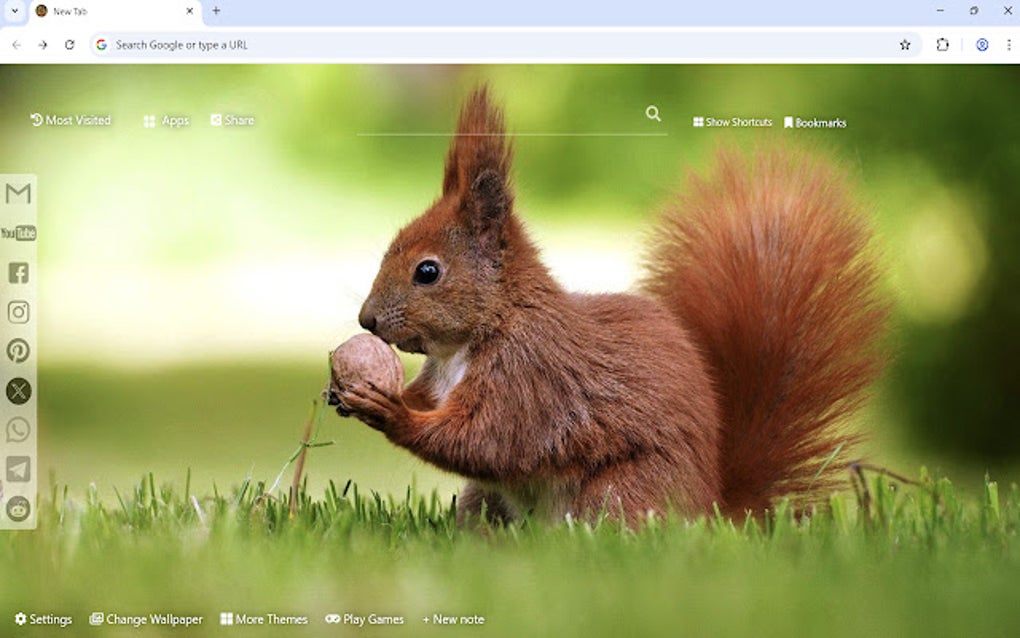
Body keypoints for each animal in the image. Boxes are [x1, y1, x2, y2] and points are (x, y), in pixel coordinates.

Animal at [336, 87, 889, 525]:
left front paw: (390, 412)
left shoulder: (532, 377)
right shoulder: (443, 379)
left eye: (427, 271)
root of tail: (710, 509)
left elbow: (487, 440)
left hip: (618, 492)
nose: (367, 319)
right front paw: (354, 393)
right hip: (486, 502)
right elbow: (435, 407)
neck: (474, 337)